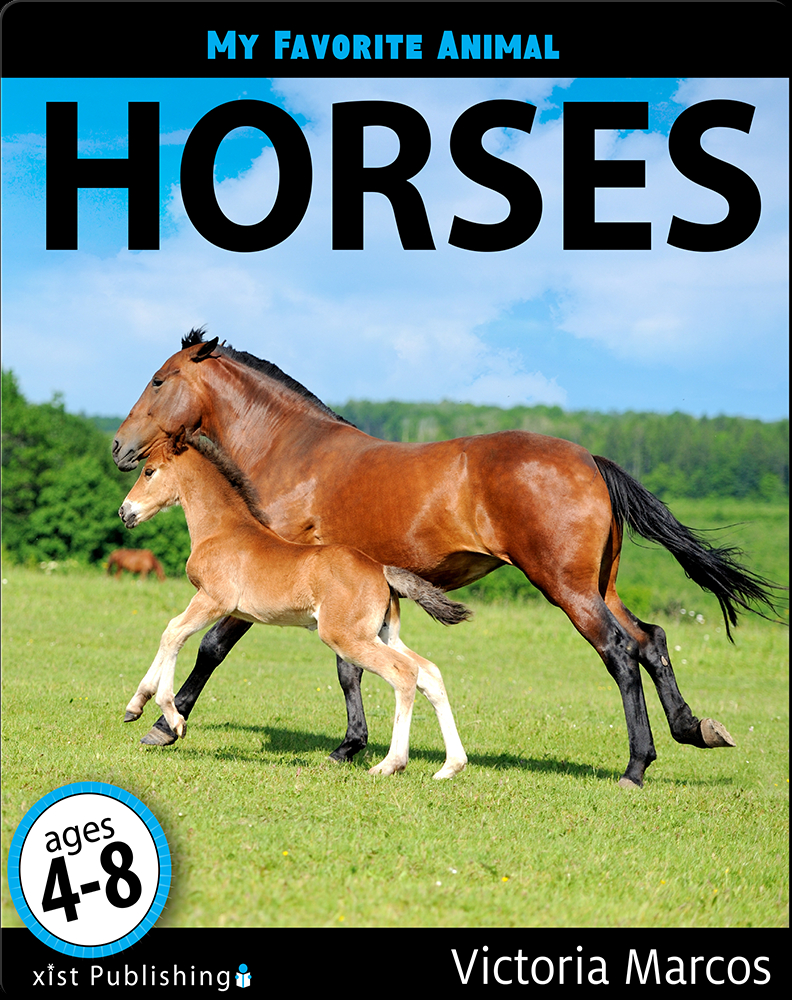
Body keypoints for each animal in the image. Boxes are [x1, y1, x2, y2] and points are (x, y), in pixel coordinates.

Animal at [118, 429, 471, 779]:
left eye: (149, 472)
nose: (125, 511)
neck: (223, 531)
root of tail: (381, 569)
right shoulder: (210, 602)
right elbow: (170, 634)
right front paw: (135, 706)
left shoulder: (214, 600)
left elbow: (173, 633)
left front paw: (173, 719)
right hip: (383, 634)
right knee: (429, 673)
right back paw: (450, 766)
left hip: (345, 637)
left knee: (404, 674)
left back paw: (391, 763)